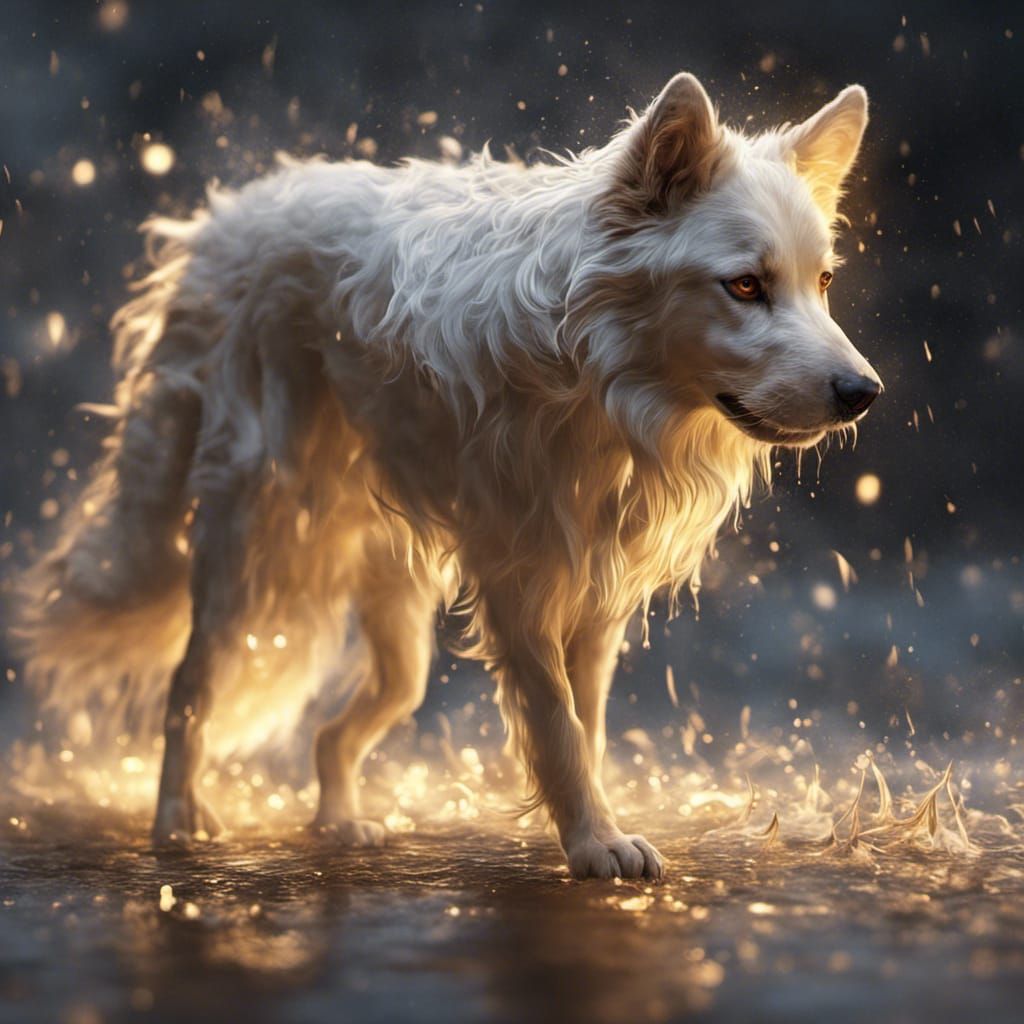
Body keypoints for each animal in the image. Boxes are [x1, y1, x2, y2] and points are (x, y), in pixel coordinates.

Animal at [17, 73, 880, 879]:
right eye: (746, 285)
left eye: (823, 284)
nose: (863, 394)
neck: (591, 378)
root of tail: (223, 220)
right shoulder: (519, 581)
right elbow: (558, 725)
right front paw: (594, 845)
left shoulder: (593, 592)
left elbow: (588, 726)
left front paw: (592, 827)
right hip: (252, 554)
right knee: (189, 684)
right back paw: (179, 820)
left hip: (396, 620)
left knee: (338, 729)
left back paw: (338, 823)